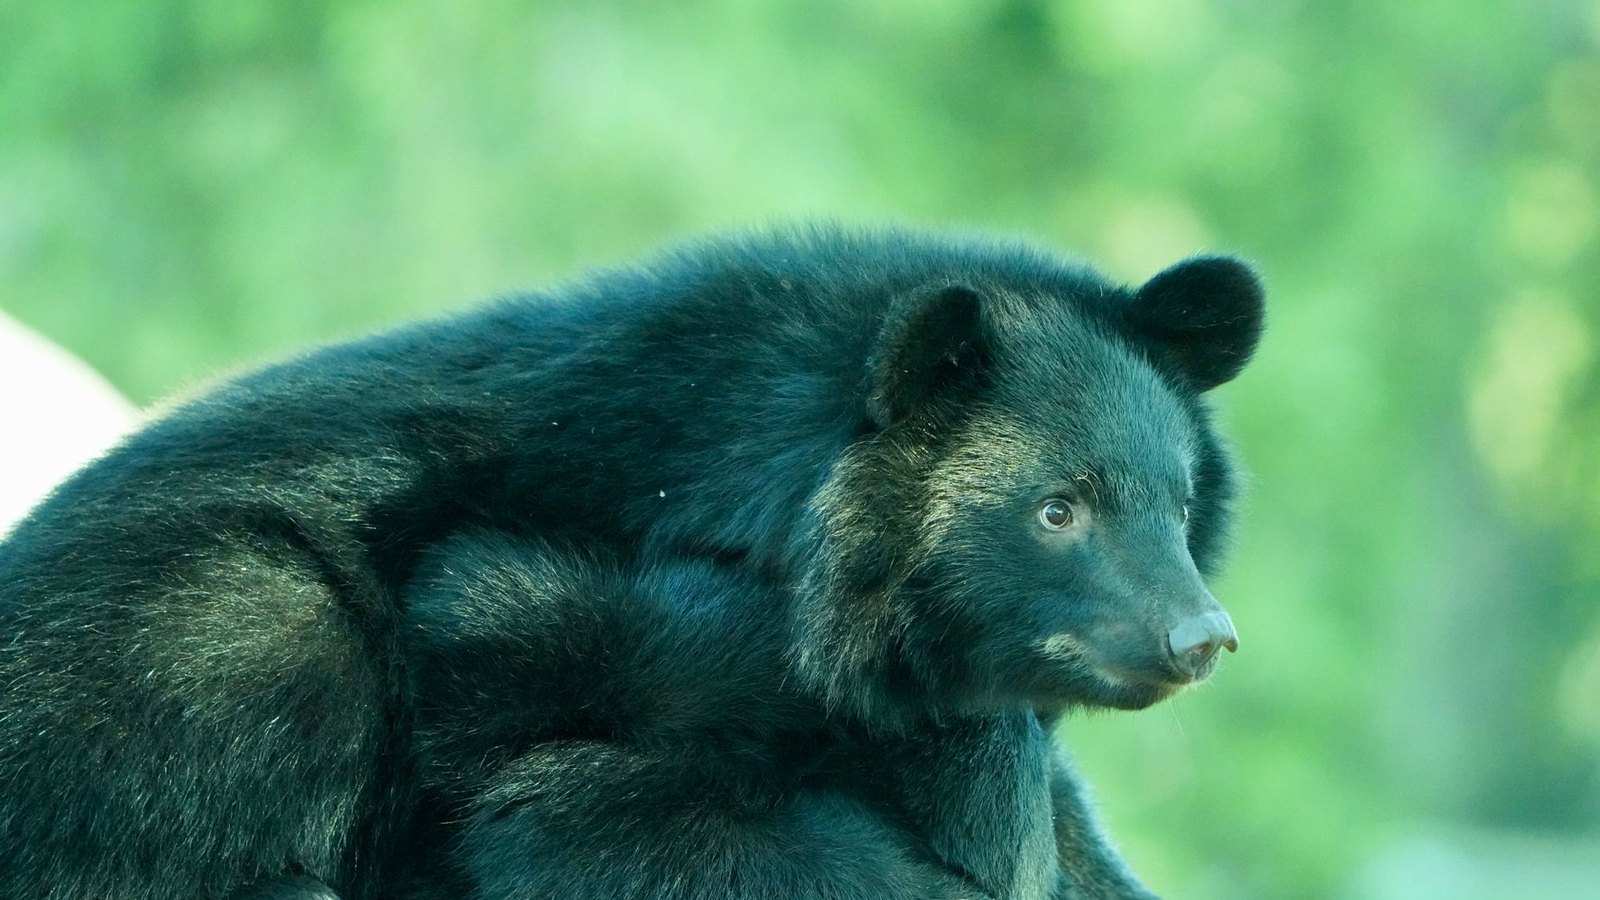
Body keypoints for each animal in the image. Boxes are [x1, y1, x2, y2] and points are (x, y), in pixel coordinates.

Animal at [0, 225, 1263, 898]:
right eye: (1058, 509)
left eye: (1178, 503)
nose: (1200, 637)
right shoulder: (547, 632)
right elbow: (624, 808)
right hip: (213, 628)